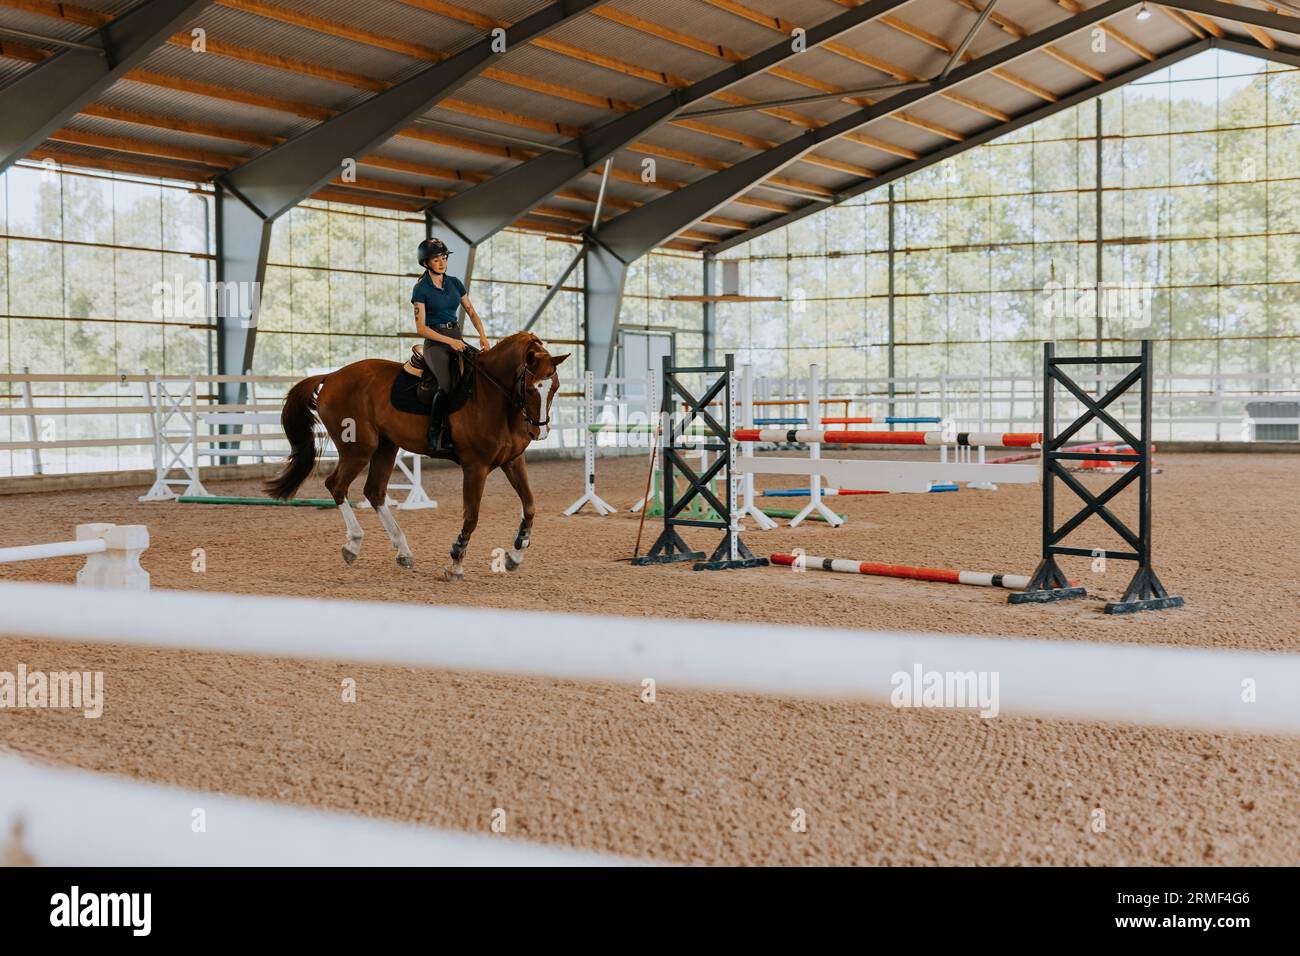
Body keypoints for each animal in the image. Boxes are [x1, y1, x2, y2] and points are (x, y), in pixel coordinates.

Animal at [265, 331, 568, 581]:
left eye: (554, 387)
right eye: (530, 388)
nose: (539, 431)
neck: (492, 396)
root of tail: (332, 376)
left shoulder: (512, 461)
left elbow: (530, 506)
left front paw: (514, 556)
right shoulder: (475, 466)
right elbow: (471, 516)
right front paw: (455, 564)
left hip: (386, 447)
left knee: (375, 492)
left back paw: (403, 552)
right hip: (358, 449)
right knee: (337, 485)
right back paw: (353, 544)